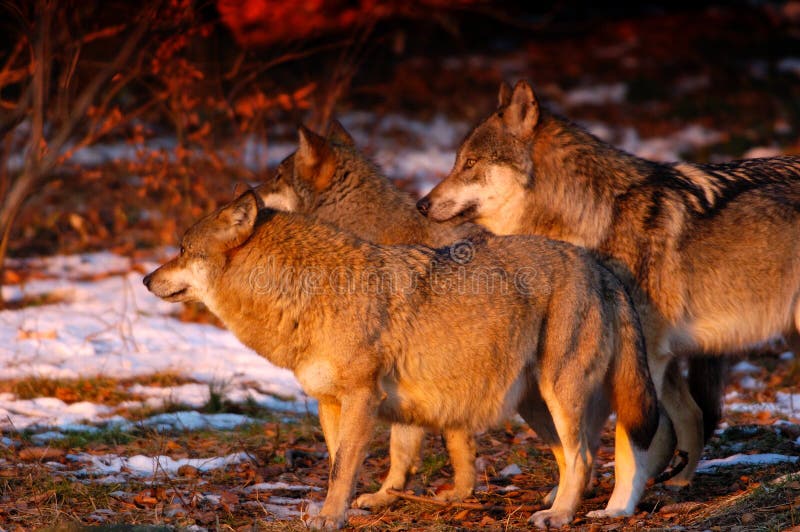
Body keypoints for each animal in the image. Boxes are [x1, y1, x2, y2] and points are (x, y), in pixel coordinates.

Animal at [144, 189, 660, 528]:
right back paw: (556, 501)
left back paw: (559, 514)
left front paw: (330, 517)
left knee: (585, 455)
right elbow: (369, 459)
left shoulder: (362, 397)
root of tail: (599, 267)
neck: (305, 294)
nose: (147, 278)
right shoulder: (339, 403)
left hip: (556, 395)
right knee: (572, 458)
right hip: (532, 405)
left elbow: (344, 466)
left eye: (183, 250)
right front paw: (374, 500)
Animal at [418, 79, 800, 487]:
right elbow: (677, 421)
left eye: (470, 163)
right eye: (459, 161)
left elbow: (632, 436)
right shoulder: (653, 354)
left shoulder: (649, 354)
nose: (422, 204)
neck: (597, 216)